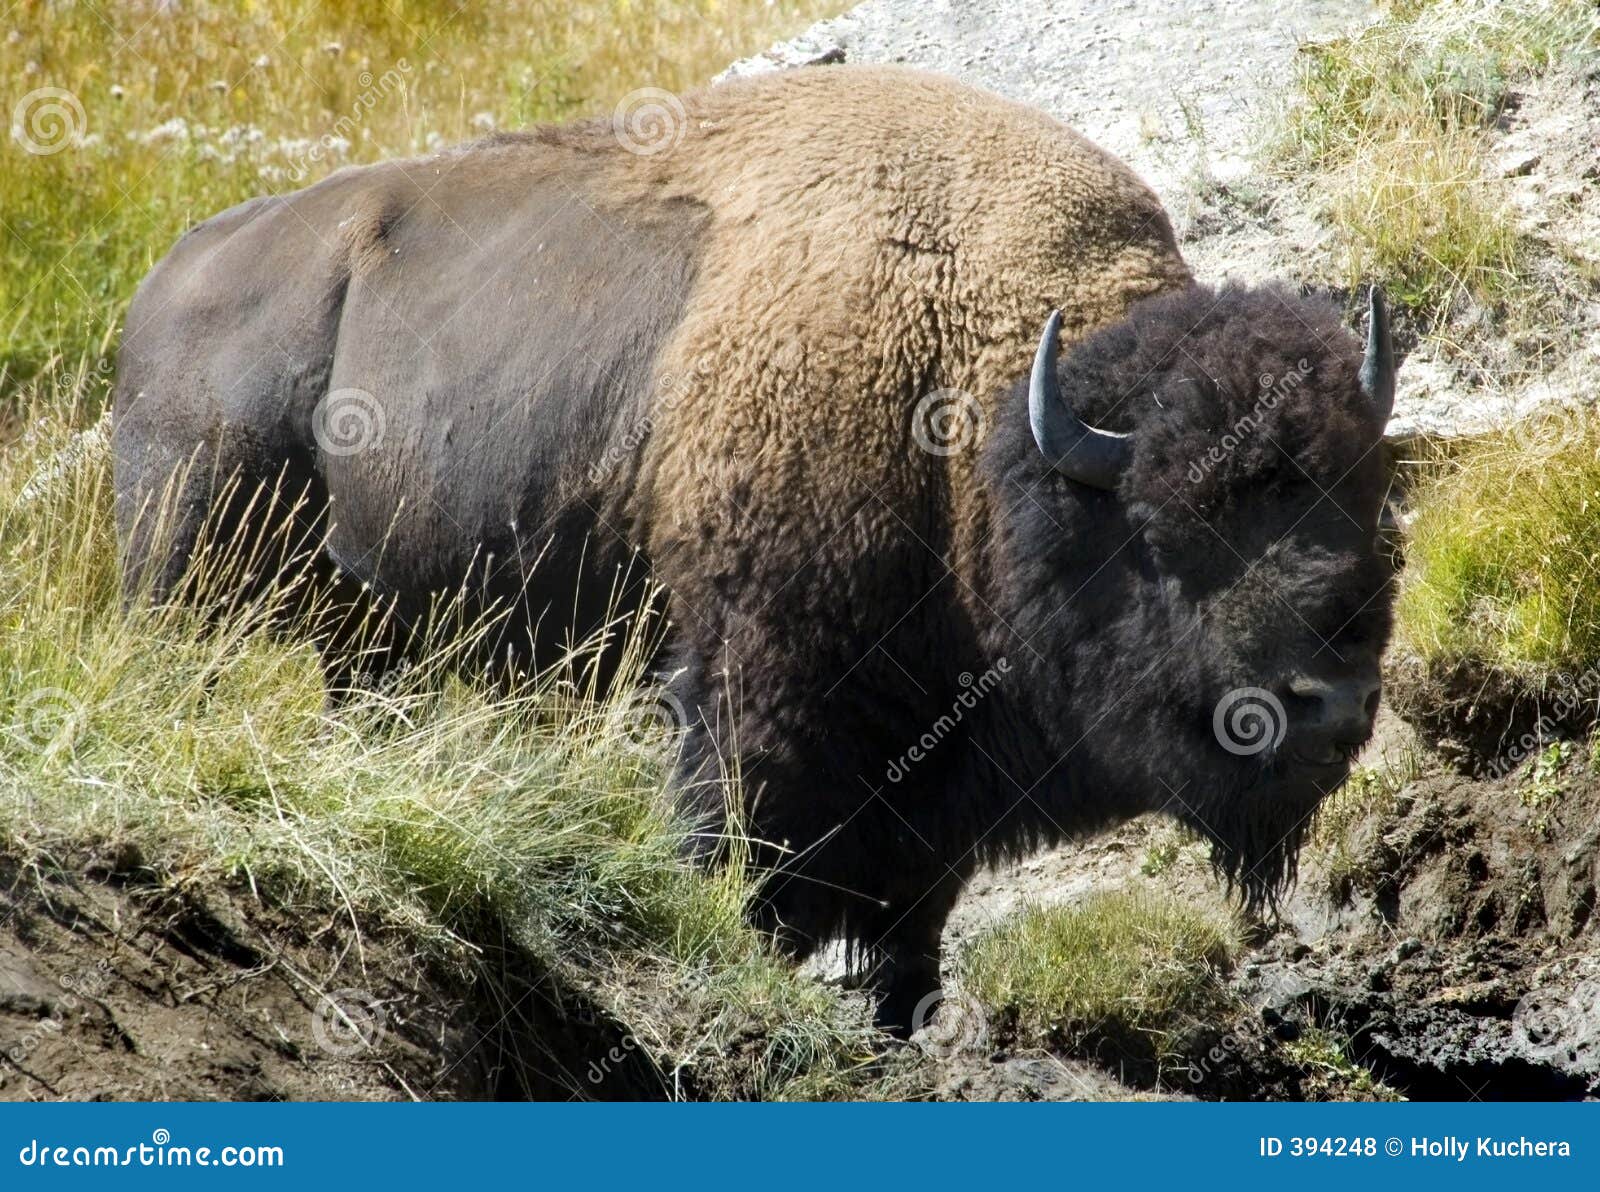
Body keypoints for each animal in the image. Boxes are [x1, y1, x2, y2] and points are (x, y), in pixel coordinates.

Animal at [113, 66, 1397, 1030]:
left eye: (1368, 498)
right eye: (1166, 527)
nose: (1325, 703)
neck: (972, 407)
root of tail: (165, 283)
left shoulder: (928, 791)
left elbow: (907, 925)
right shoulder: (752, 683)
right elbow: (740, 852)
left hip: (369, 641)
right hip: (185, 575)